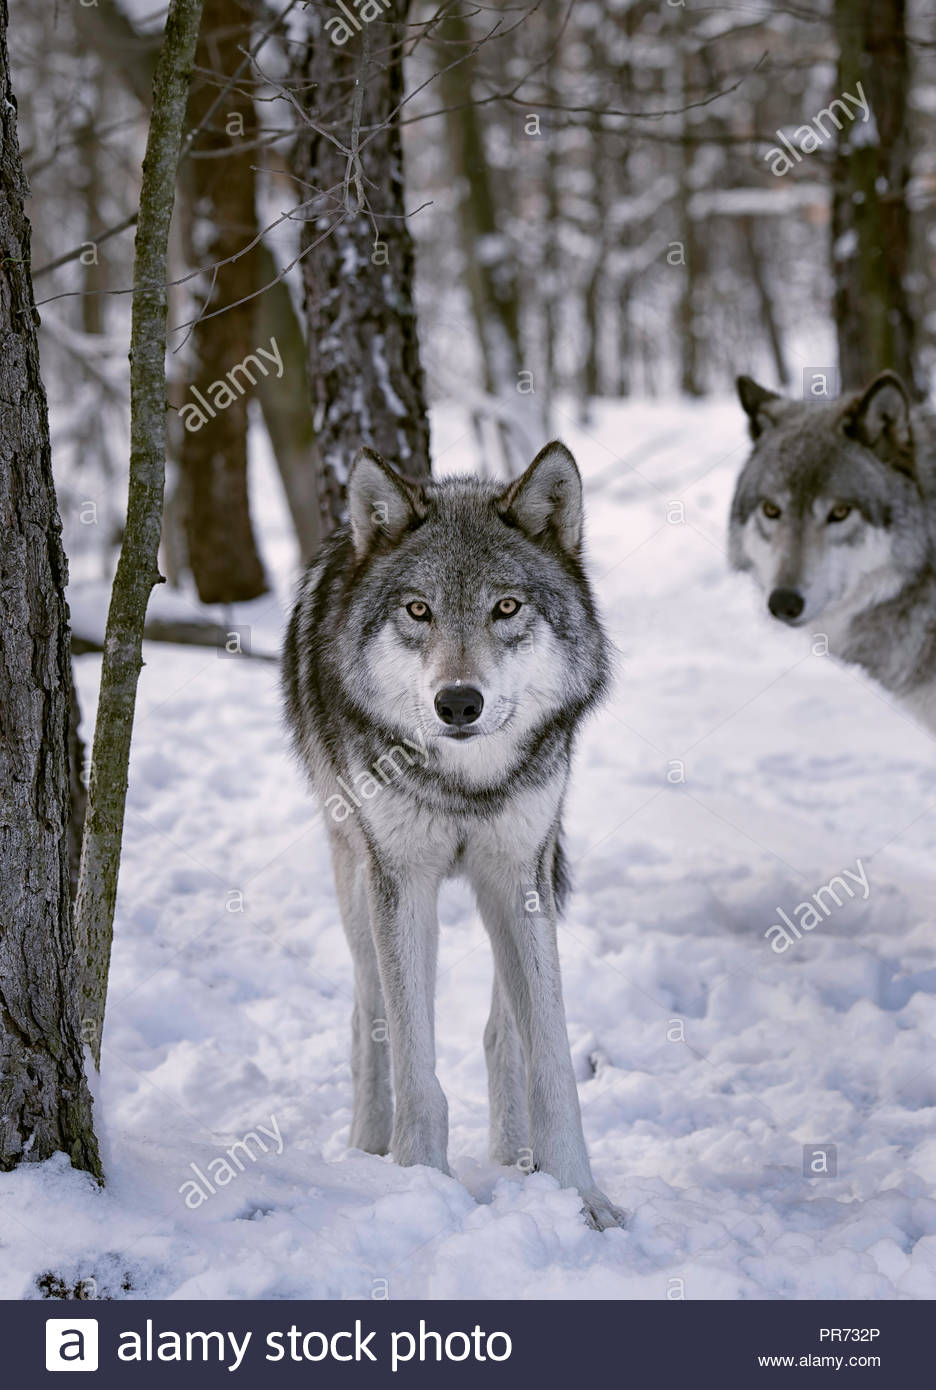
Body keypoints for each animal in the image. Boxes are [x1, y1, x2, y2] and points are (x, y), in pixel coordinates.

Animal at [282, 442, 627, 1230]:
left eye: (506, 607)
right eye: (419, 610)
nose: (458, 702)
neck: (467, 783)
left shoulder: (519, 871)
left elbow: (550, 1058)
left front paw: (582, 1197)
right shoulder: (401, 878)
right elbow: (415, 1062)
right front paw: (419, 1184)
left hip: (531, 876)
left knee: (502, 1030)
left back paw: (512, 1157)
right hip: (357, 879)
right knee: (370, 1015)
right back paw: (368, 1147)